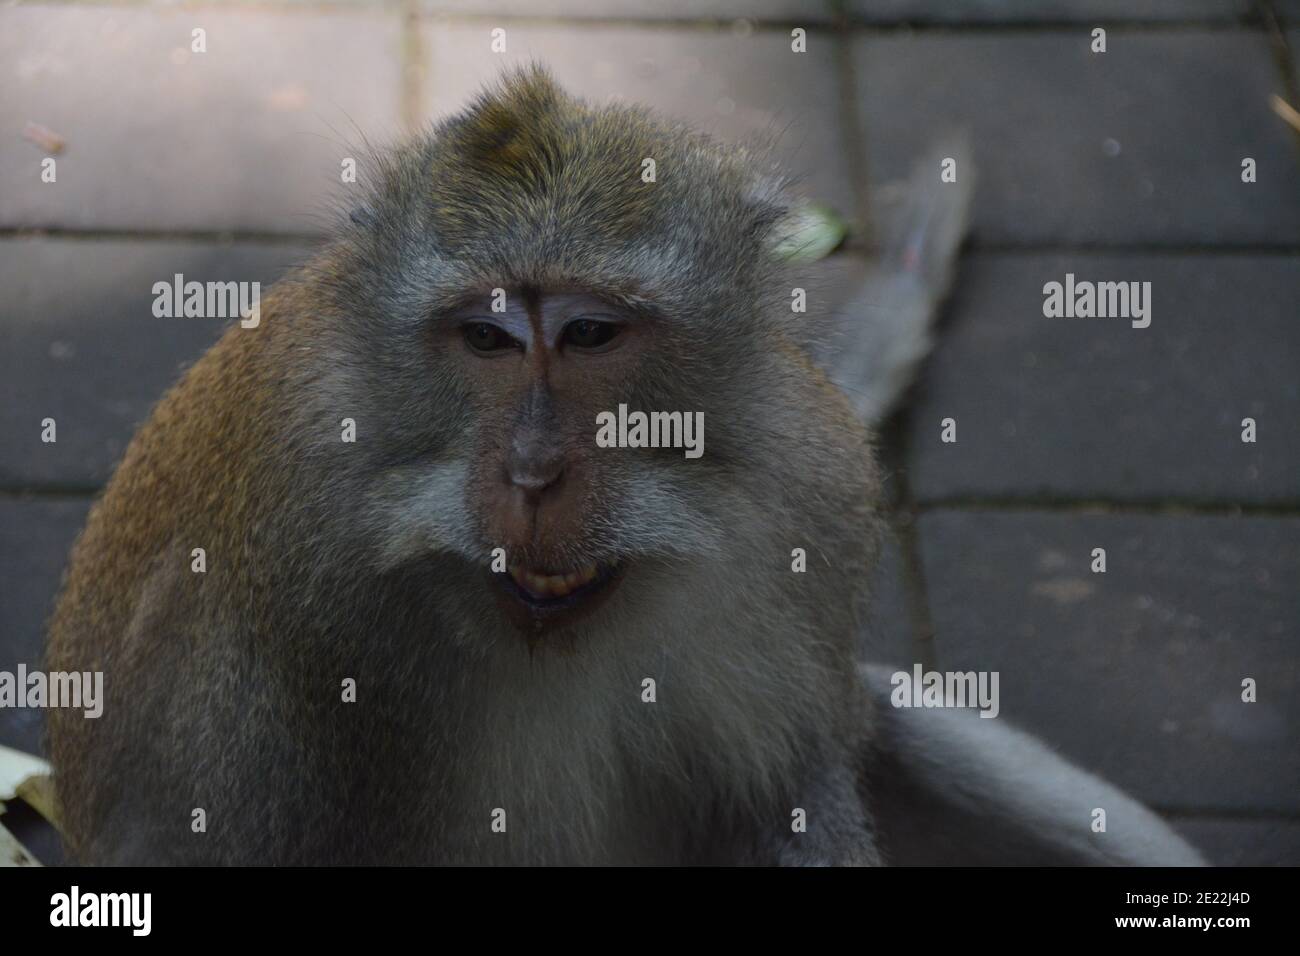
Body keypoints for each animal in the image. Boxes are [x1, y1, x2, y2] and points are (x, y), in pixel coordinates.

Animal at [45, 65, 1204, 866]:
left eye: (592, 334)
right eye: (487, 338)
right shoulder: (292, 579)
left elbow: (789, 789)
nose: (531, 470)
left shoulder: (809, 492)